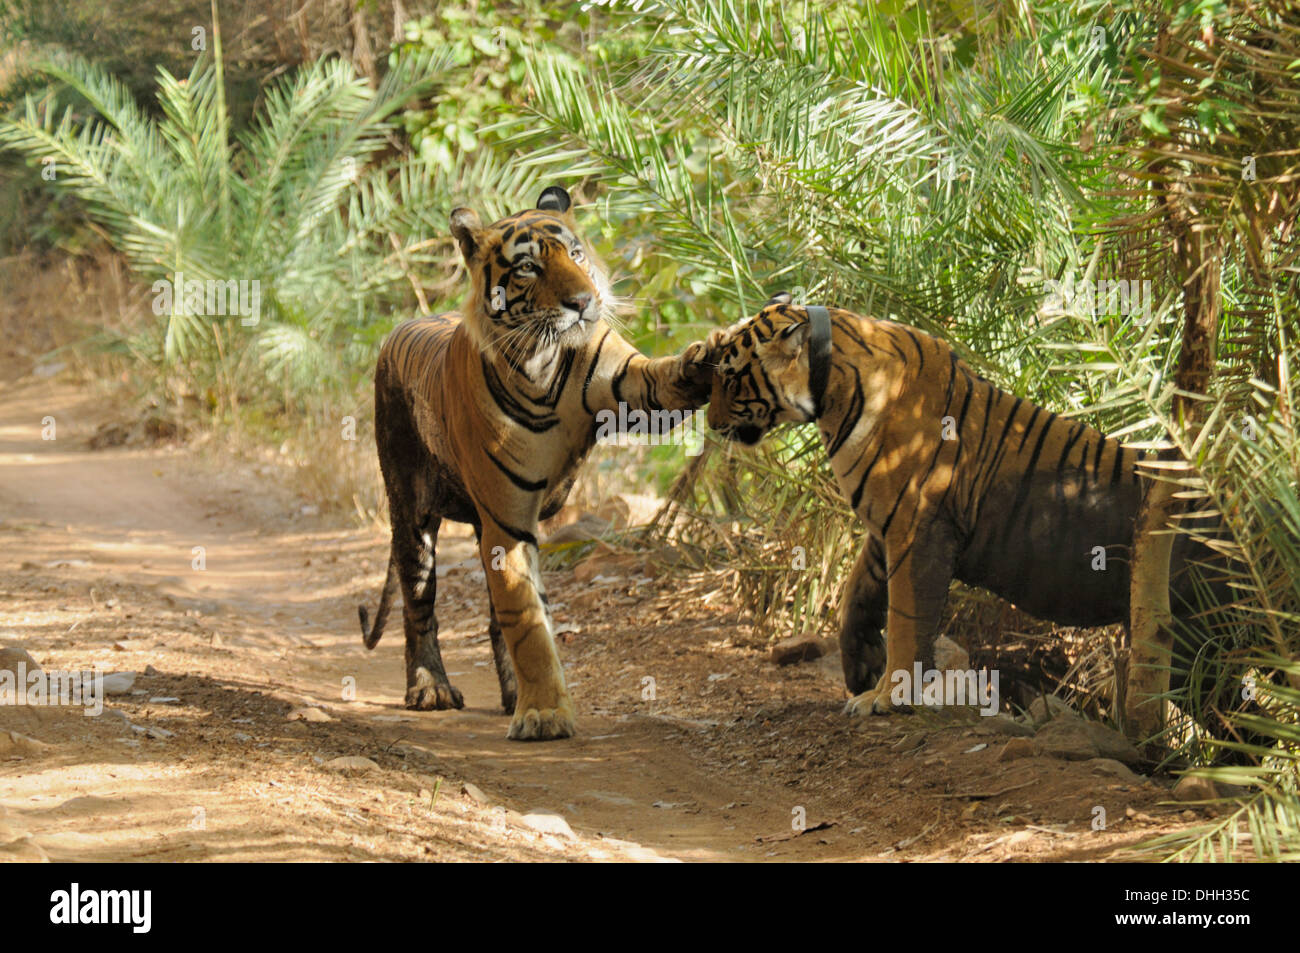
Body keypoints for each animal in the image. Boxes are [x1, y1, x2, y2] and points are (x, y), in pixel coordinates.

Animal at [357, 186, 713, 741]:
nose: (585, 302)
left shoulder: (629, 384)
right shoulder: (505, 520)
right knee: (421, 606)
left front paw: (712, 354)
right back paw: (430, 688)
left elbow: (663, 379)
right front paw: (545, 713)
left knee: (490, 614)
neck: (543, 366)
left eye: (578, 254)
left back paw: (508, 695)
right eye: (528, 267)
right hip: (411, 513)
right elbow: (527, 625)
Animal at [702, 294, 1231, 727]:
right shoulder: (884, 527)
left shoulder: (915, 526)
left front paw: (888, 698)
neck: (830, 388)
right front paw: (860, 671)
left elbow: (905, 618)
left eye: (728, 377)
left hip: (1200, 639)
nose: (707, 423)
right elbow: (856, 599)